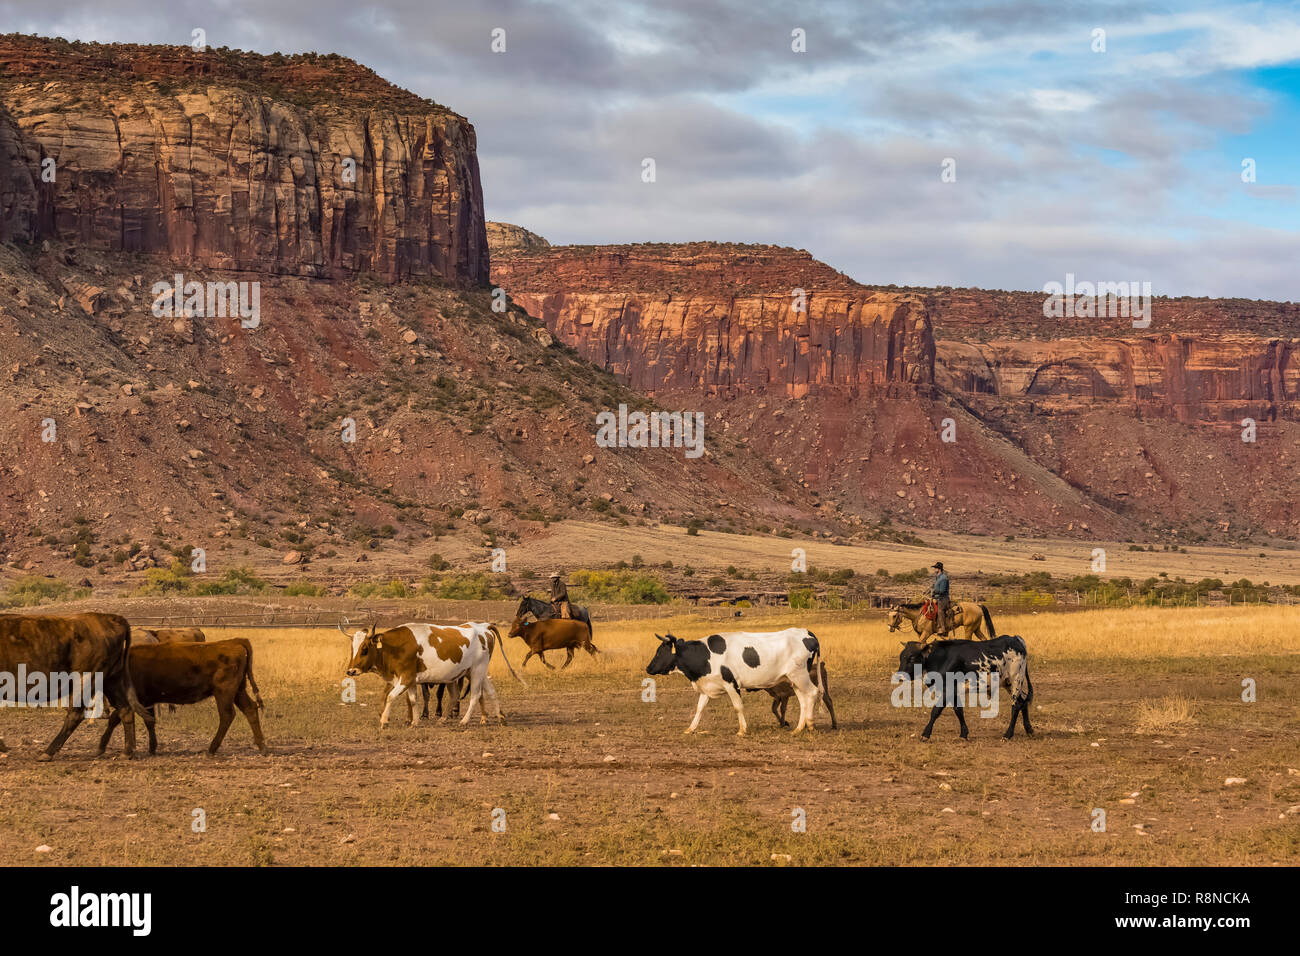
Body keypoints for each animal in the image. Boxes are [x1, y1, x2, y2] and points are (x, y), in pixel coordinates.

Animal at [0, 612, 145, 759]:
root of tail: (111, 618)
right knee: (125, 709)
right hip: (111, 680)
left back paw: (48, 753)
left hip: (86, 680)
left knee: (75, 714)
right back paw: (126, 752)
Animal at [95, 638, 267, 756]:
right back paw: (262, 746)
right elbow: (149, 721)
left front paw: (101, 746)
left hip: (224, 693)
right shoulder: (147, 701)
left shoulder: (131, 701)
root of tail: (234, 642)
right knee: (250, 709)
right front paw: (152, 747)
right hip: (238, 691)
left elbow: (115, 719)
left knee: (227, 715)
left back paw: (212, 748)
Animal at [344, 622, 524, 728]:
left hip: (477, 670)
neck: (394, 647)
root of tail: (484, 628)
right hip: (474, 672)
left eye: (365, 649)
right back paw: (498, 718)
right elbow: (413, 700)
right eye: (352, 649)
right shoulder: (410, 680)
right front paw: (415, 721)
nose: (351, 671)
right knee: (488, 692)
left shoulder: (406, 678)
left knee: (475, 695)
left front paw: (384, 720)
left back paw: (464, 720)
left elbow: (391, 697)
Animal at [644, 628, 823, 735]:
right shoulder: (707, 686)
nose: (648, 668)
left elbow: (738, 707)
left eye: (659, 652)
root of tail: (806, 632)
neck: (705, 655)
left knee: (813, 693)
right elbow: (699, 708)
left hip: (800, 676)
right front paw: (690, 728)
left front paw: (742, 730)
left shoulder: (731, 684)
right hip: (795, 679)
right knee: (803, 700)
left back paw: (811, 724)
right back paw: (799, 728)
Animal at [895, 635, 1034, 741]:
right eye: (901, 656)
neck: (939, 658)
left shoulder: (947, 690)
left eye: (912, 657)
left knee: (1016, 705)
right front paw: (964, 734)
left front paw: (925, 734)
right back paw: (1029, 730)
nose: (899, 676)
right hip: (1008, 683)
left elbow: (936, 711)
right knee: (1023, 702)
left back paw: (1008, 734)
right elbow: (958, 710)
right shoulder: (954, 691)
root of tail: (1015, 639)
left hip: (1016, 680)